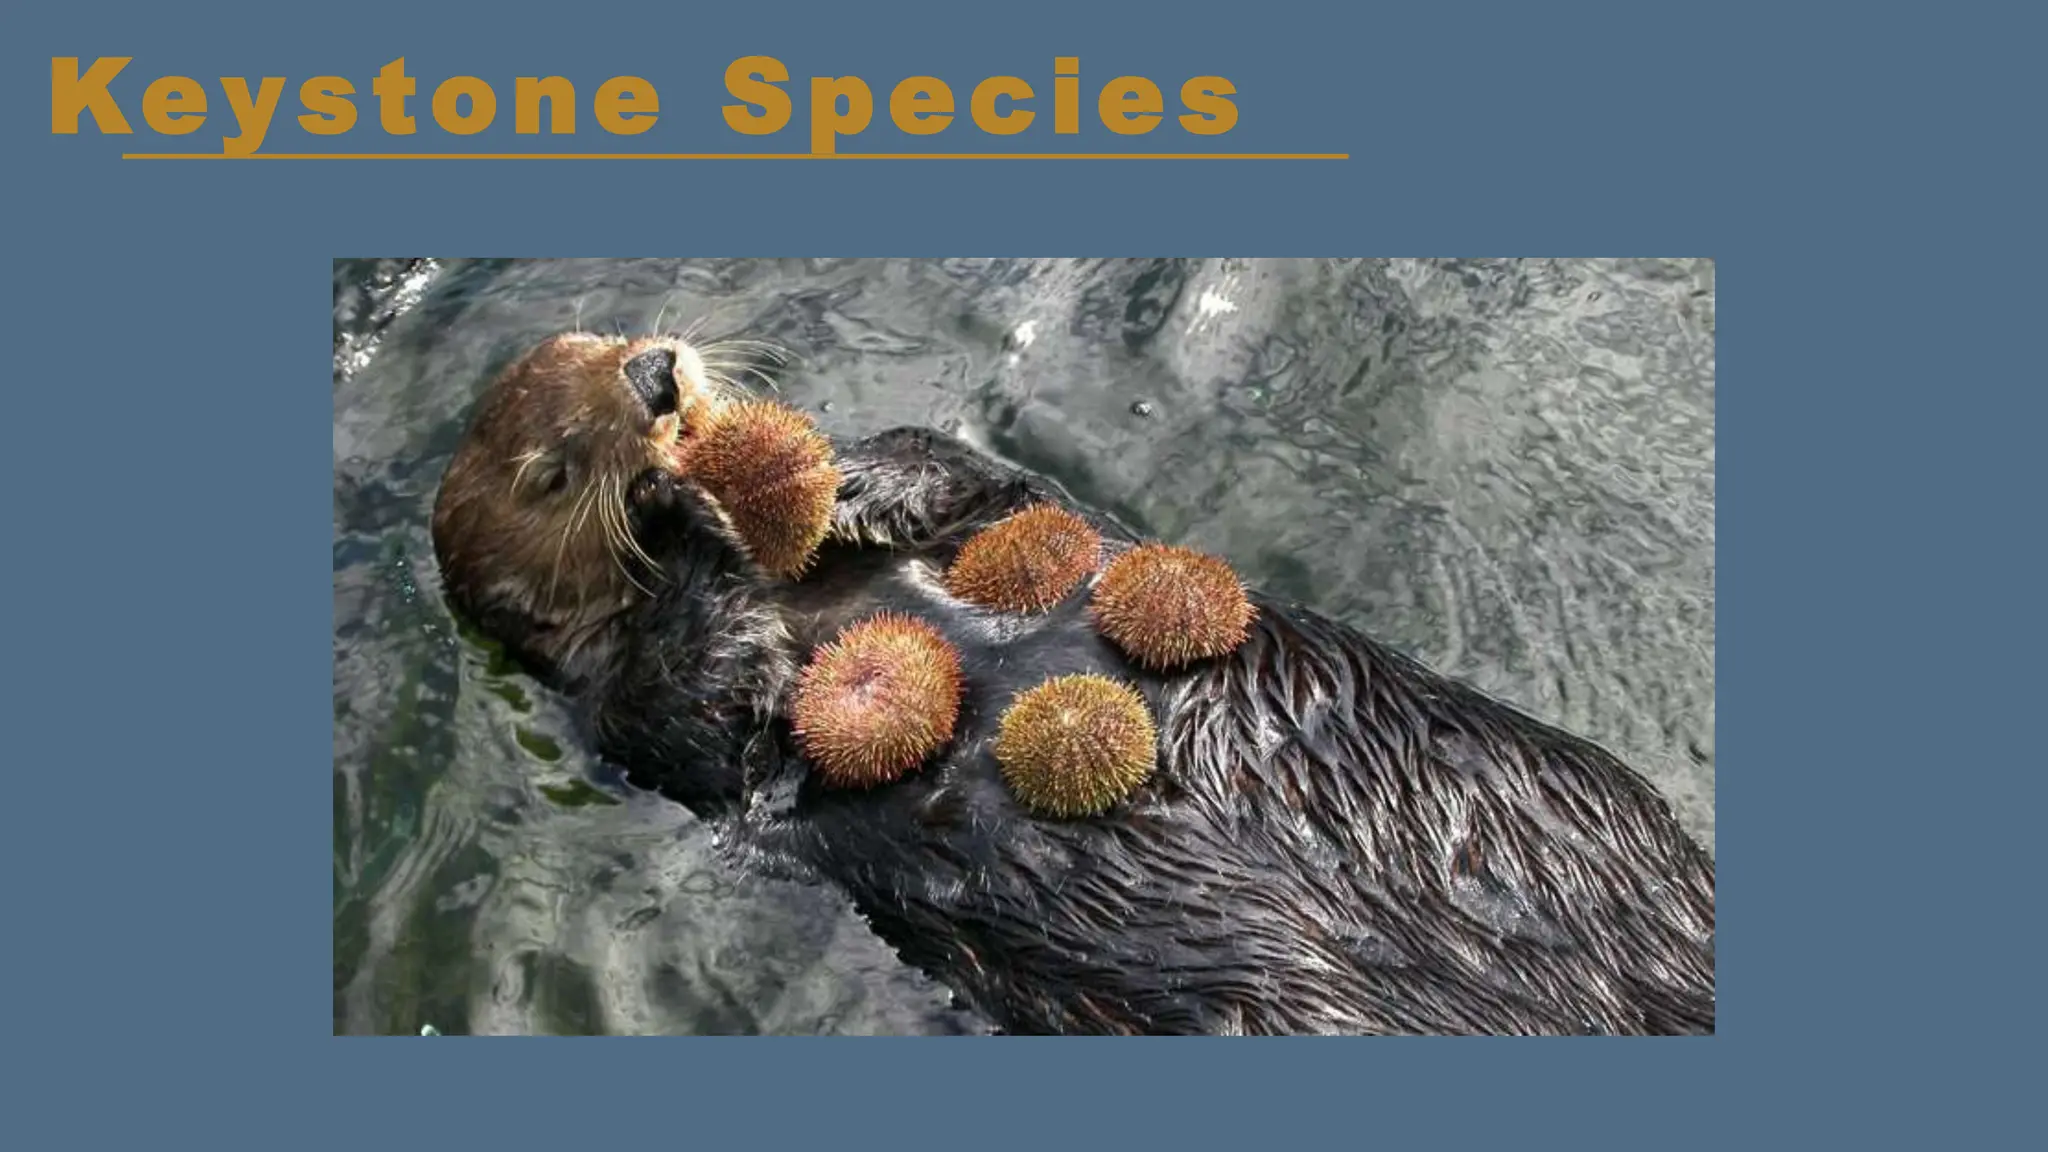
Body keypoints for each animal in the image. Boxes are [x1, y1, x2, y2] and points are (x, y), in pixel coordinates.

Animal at [431, 331, 1717, 1035]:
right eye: (550, 472)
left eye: (612, 334)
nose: (655, 373)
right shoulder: (634, 720)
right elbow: (706, 697)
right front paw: (682, 511)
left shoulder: (984, 499)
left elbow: (967, 475)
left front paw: (841, 483)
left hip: (1568, 798)